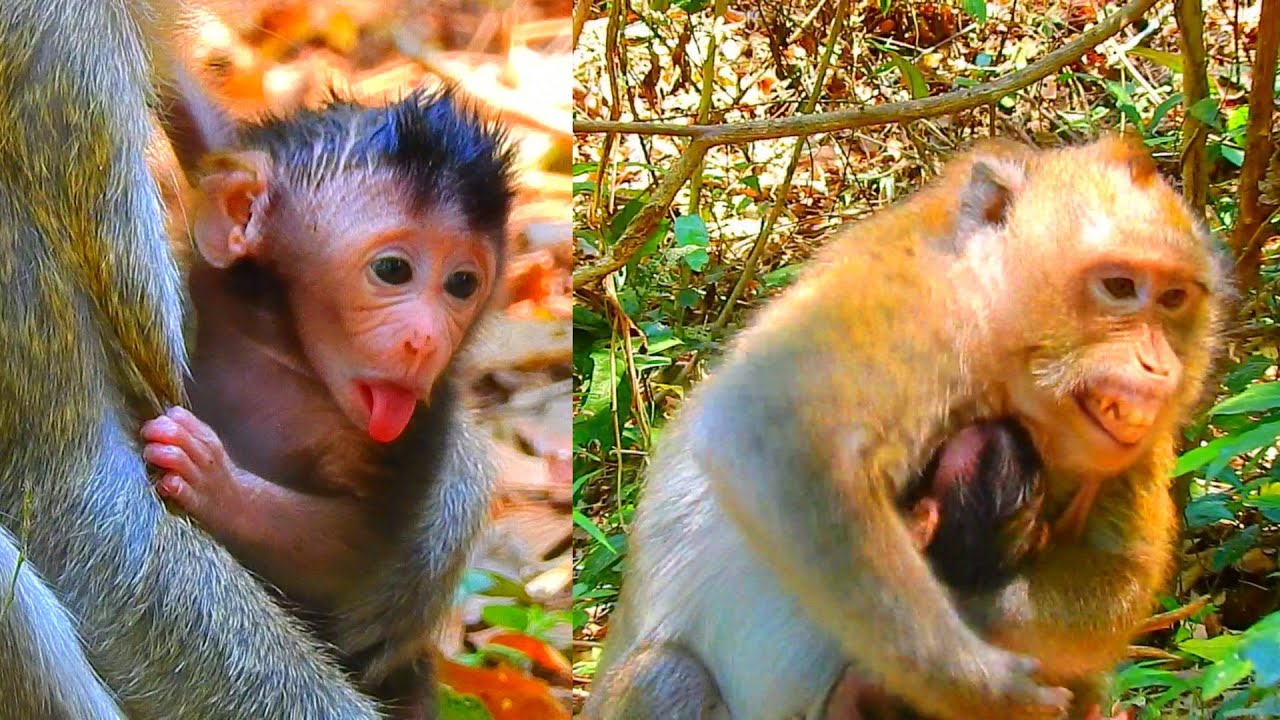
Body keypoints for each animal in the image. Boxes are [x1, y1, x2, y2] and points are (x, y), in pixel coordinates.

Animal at [138, 86, 516, 718]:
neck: (288, 352)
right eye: (393, 271)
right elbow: (204, 133)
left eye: (461, 284)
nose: (427, 340)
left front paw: (212, 479)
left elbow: (346, 556)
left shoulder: (407, 437)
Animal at [583, 136, 1228, 720]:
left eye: (1173, 298)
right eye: (1119, 287)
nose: (1158, 365)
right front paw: (979, 685)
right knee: (668, 677)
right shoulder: (912, 306)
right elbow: (767, 427)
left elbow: (1118, 578)